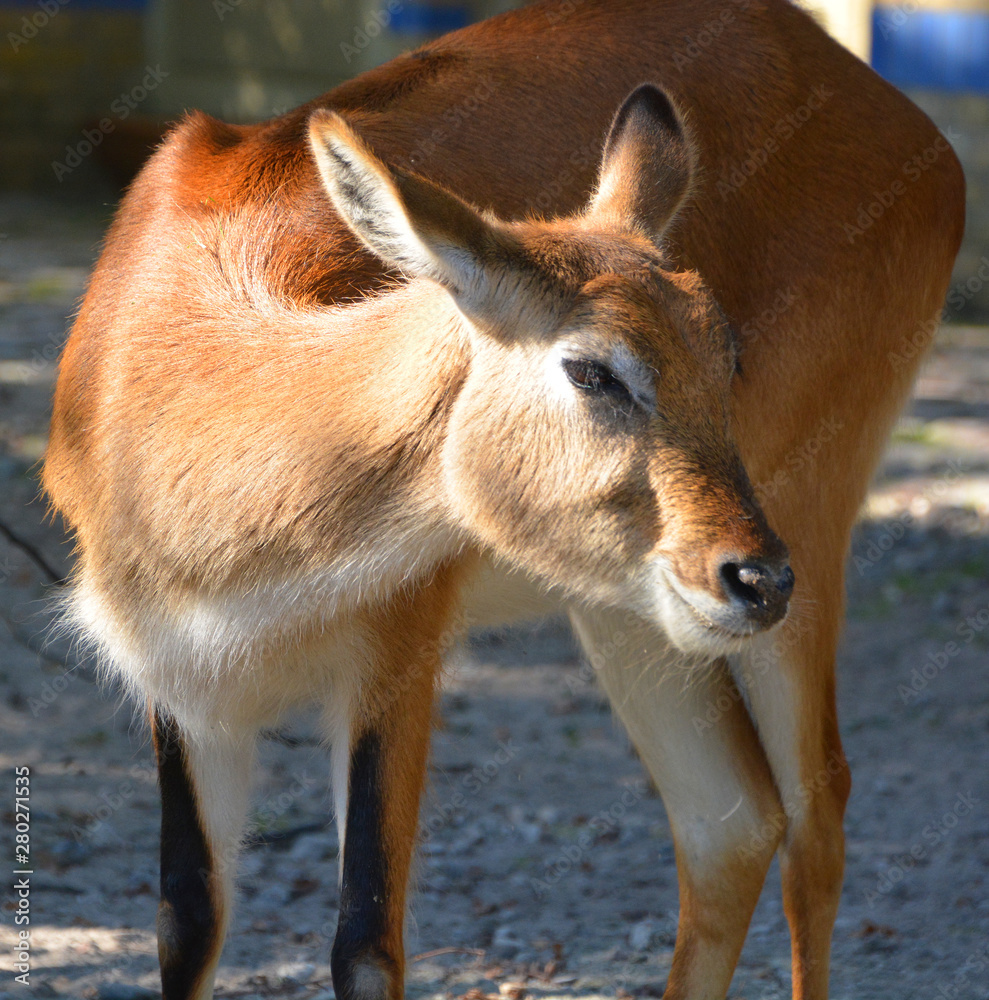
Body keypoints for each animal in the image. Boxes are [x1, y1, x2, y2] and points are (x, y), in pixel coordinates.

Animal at [42, 1, 965, 999]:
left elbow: (365, 943)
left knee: (817, 812)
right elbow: (186, 922)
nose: (754, 577)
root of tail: (908, 127)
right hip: (635, 614)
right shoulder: (180, 685)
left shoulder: (393, 653)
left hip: (797, 538)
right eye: (593, 368)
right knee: (730, 823)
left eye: (729, 357)